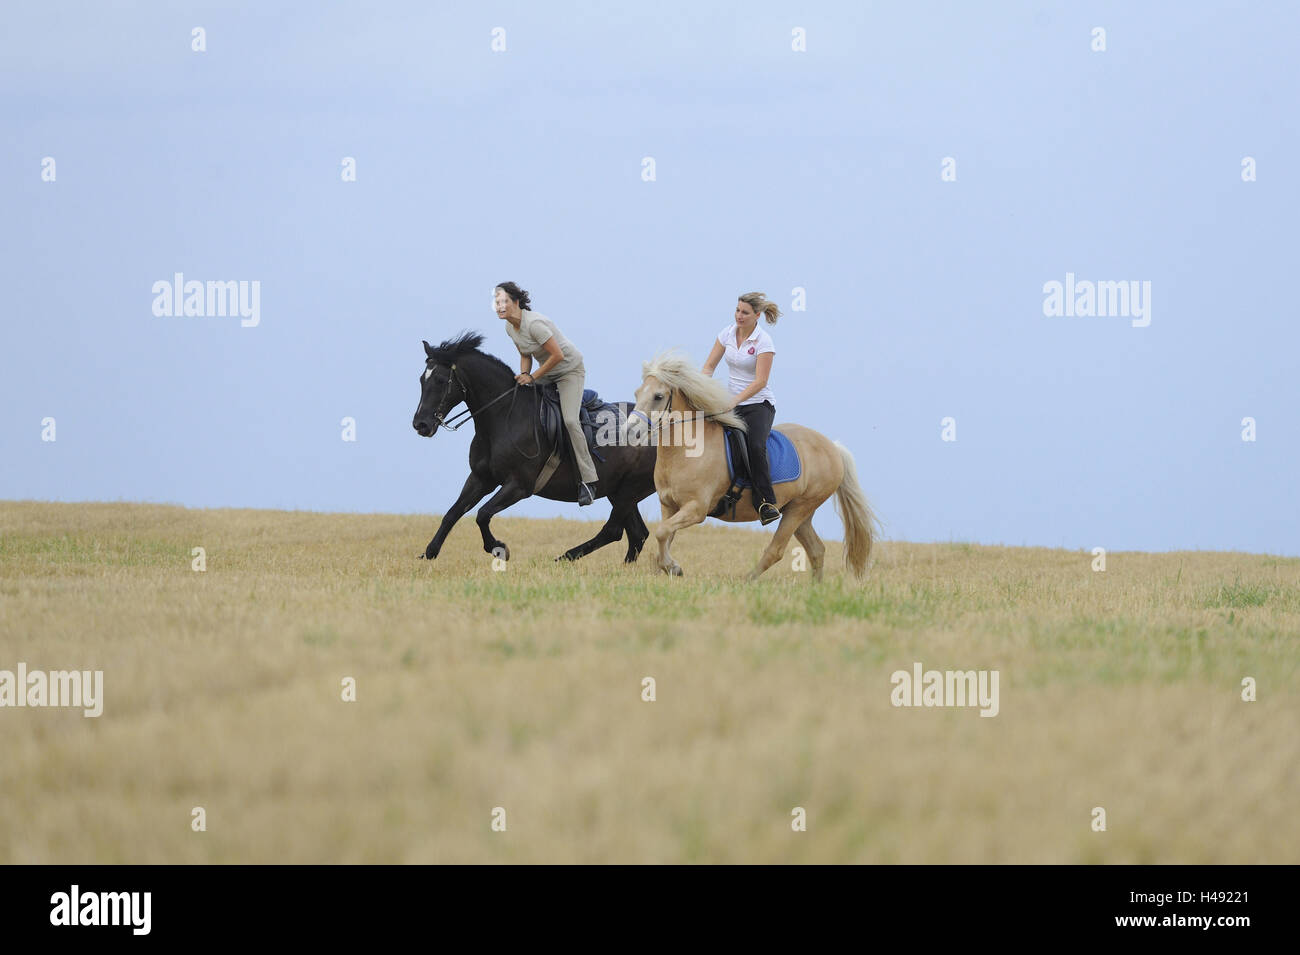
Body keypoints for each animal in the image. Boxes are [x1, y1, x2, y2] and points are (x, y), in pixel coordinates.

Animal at [412, 331, 658, 563]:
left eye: (441, 380)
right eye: (422, 380)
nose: (420, 424)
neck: (505, 417)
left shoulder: (519, 485)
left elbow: (482, 514)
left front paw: (499, 548)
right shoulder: (481, 478)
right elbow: (452, 514)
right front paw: (429, 553)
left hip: (629, 489)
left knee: (614, 530)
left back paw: (563, 558)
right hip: (618, 490)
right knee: (636, 533)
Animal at [624, 351, 879, 581]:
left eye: (658, 396)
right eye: (637, 393)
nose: (629, 431)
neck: (686, 451)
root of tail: (833, 448)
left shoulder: (696, 509)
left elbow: (662, 532)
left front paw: (672, 567)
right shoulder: (669, 506)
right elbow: (665, 535)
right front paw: (668, 568)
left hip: (800, 508)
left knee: (776, 550)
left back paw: (747, 580)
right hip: (799, 511)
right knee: (817, 549)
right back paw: (816, 590)